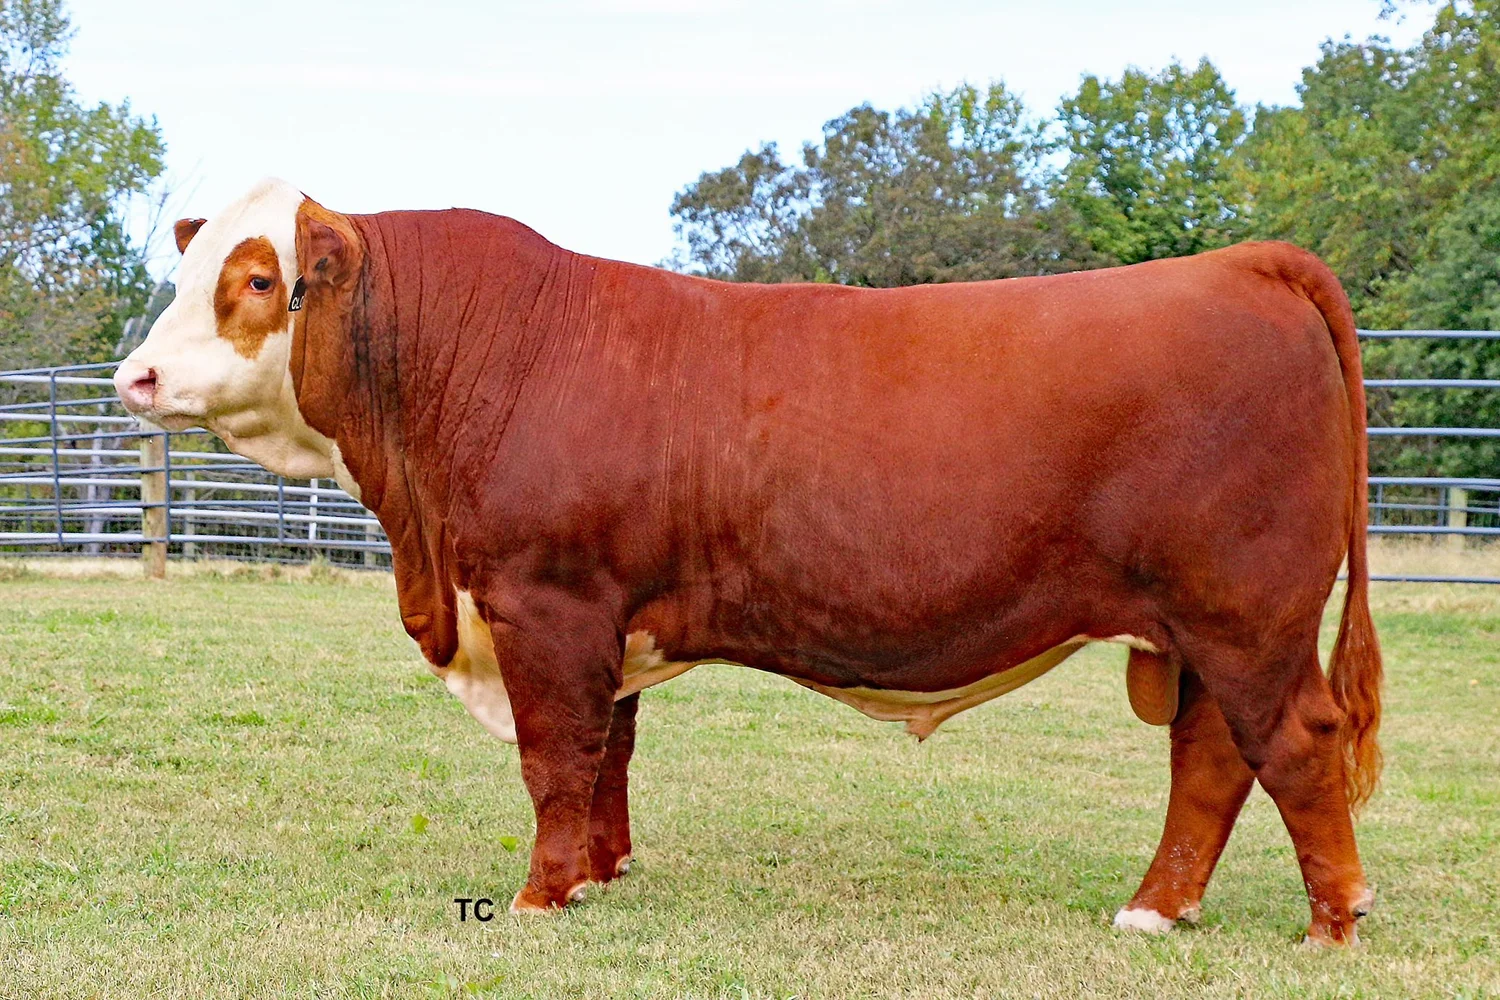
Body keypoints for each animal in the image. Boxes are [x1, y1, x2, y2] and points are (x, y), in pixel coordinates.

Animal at [114, 178, 1383, 945]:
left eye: (259, 279)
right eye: (186, 273)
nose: (134, 376)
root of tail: (1243, 263)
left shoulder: (544, 601)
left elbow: (553, 757)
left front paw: (537, 896)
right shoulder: (602, 615)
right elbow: (608, 752)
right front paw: (598, 874)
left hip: (1247, 613)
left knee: (1295, 744)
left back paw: (1332, 922)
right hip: (1204, 629)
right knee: (1211, 762)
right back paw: (1155, 910)